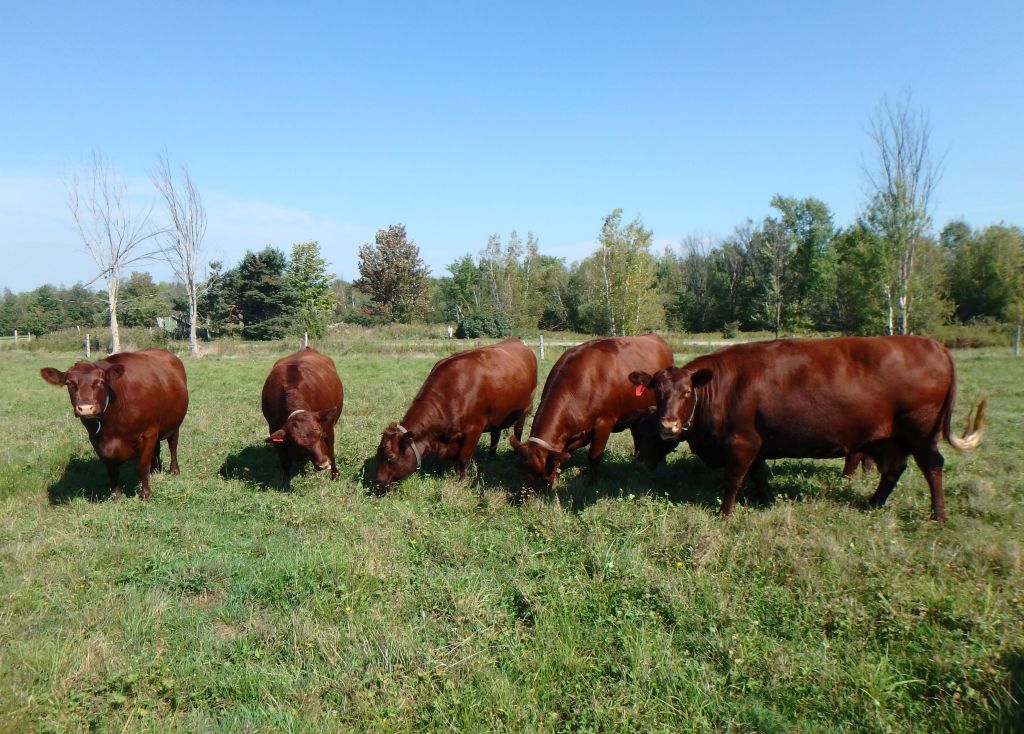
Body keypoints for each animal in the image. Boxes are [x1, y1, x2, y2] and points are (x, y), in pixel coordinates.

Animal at [40, 349, 189, 500]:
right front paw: (117, 497)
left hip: (174, 424)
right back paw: (156, 470)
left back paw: (174, 470)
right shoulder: (96, 440)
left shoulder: (148, 432)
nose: (86, 408)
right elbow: (112, 470)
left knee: (172, 446)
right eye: (69, 383)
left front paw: (146, 494)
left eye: (100, 382)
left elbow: (142, 467)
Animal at [262, 348, 344, 488]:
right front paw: (285, 484)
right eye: (299, 444)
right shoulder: (273, 429)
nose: (323, 464)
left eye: (320, 435)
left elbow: (331, 452)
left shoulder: (328, 427)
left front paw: (335, 475)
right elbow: (285, 462)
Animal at [373, 338, 537, 490]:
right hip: (498, 413)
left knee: (518, 430)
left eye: (390, 458)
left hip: (525, 408)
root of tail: (518, 342)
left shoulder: (473, 430)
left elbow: (463, 459)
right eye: (378, 454)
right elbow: (456, 460)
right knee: (495, 433)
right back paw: (491, 457)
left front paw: (461, 483)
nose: (377, 483)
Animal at [510, 332, 673, 490]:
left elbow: (594, 456)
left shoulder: (604, 422)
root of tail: (653, 335)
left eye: (540, 473)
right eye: (520, 471)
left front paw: (592, 484)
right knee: (637, 434)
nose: (527, 495)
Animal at [629, 335, 985, 521]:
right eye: (657, 393)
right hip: (889, 438)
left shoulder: (741, 443)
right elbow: (759, 475)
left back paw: (938, 514)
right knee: (894, 469)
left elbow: (733, 480)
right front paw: (768, 501)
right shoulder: (758, 442)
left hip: (921, 433)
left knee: (932, 467)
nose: (668, 424)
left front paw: (725, 514)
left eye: (687, 393)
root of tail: (935, 344)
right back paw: (874, 504)